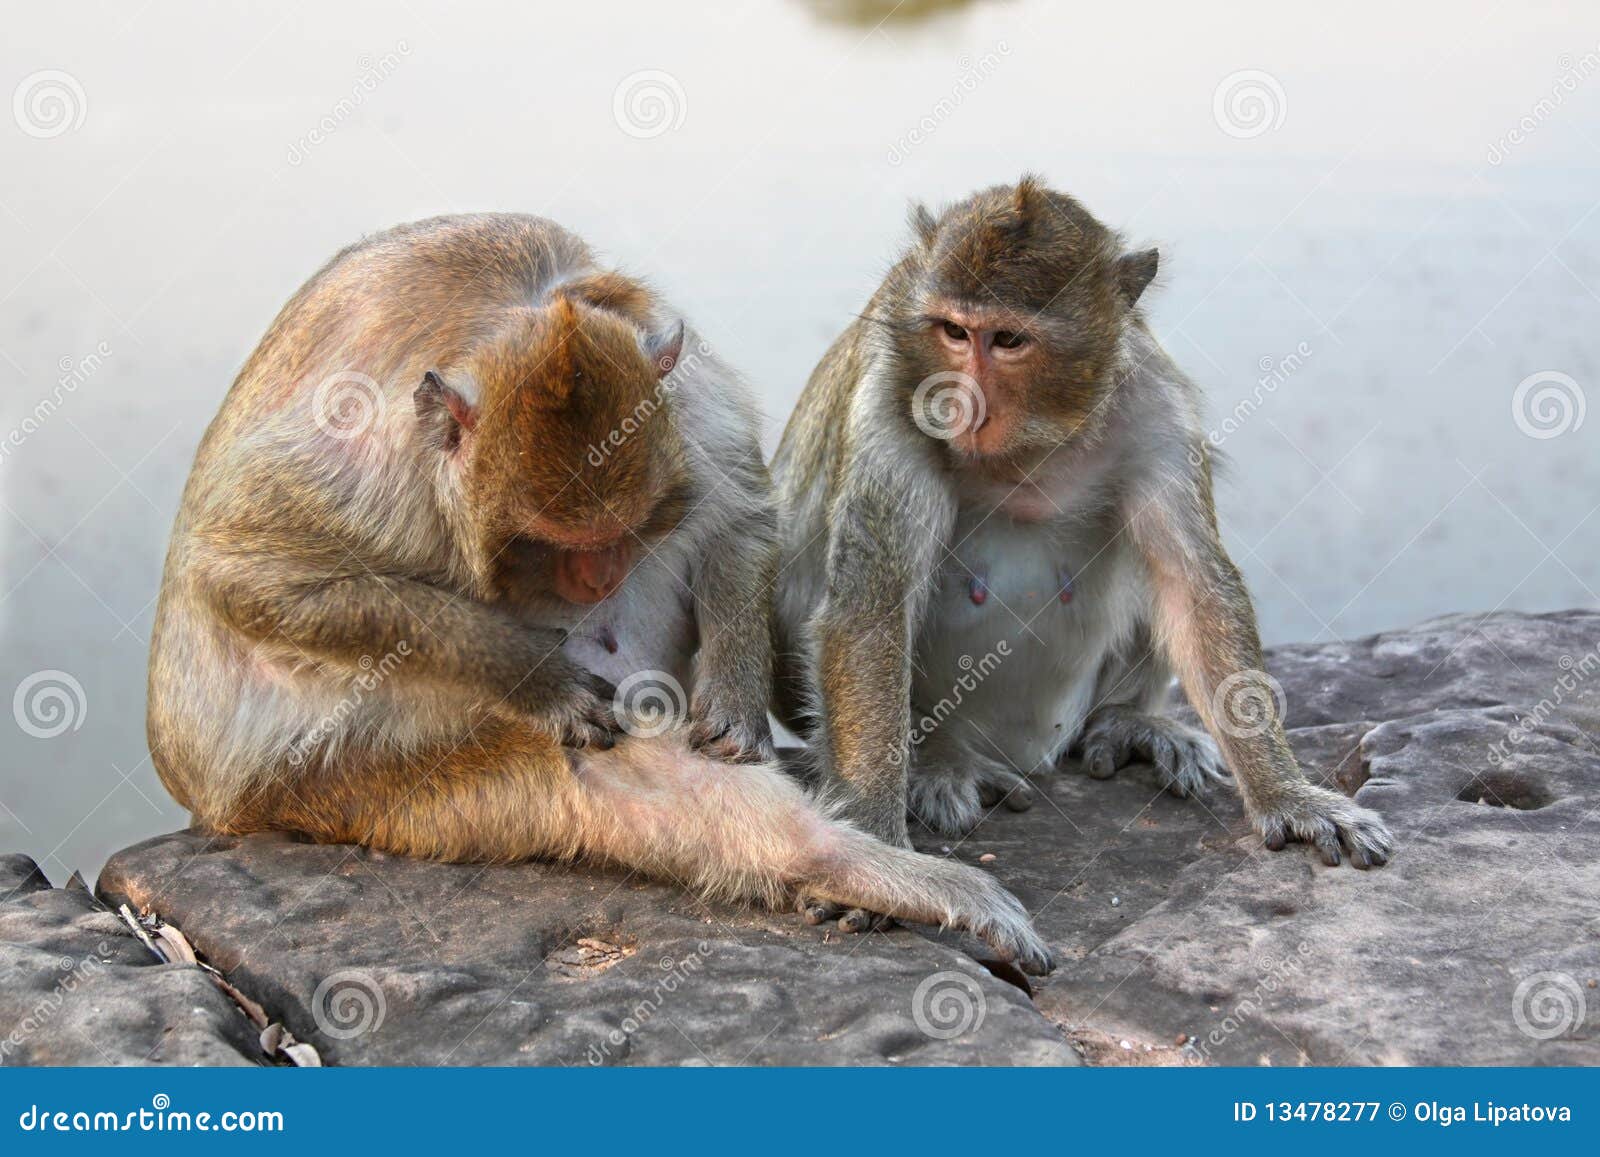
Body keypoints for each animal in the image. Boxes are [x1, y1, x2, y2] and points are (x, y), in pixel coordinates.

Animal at [146, 213, 1051, 973]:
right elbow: (249, 574)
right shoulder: (370, 460)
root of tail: (224, 807)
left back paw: (852, 865)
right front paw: (532, 675)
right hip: (342, 777)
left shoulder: (682, 397)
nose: (598, 576)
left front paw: (733, 693)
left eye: (627, 526)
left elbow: (735, 510)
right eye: (546, 546)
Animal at [772, 178, 1393, 928]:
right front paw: (875, 853)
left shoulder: (1154, 406)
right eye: (953, 332)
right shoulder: (893, 403)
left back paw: (1128, 722)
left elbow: (1194, 587)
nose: (957, 396)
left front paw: (1288, 795)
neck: (1033, 443)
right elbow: (871, 610)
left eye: (1008, 340)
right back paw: (940, 760)